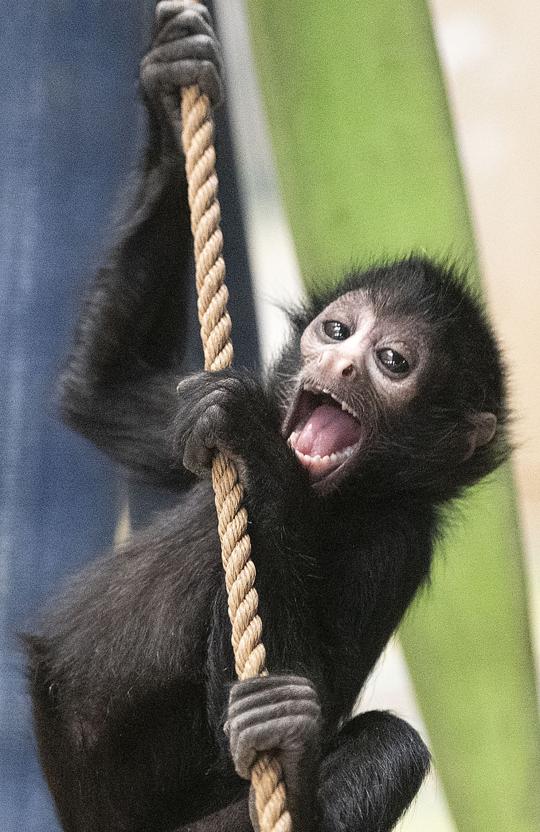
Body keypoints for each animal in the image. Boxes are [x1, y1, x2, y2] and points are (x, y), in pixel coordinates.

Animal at [25, 3, 509, 832]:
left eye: (392, 361)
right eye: (338, 332)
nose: (340, 368)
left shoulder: (401, 539)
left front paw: (258, 448)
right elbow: (97, 393)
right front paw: (170, 89)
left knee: (389, 742)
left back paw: (291, 752)